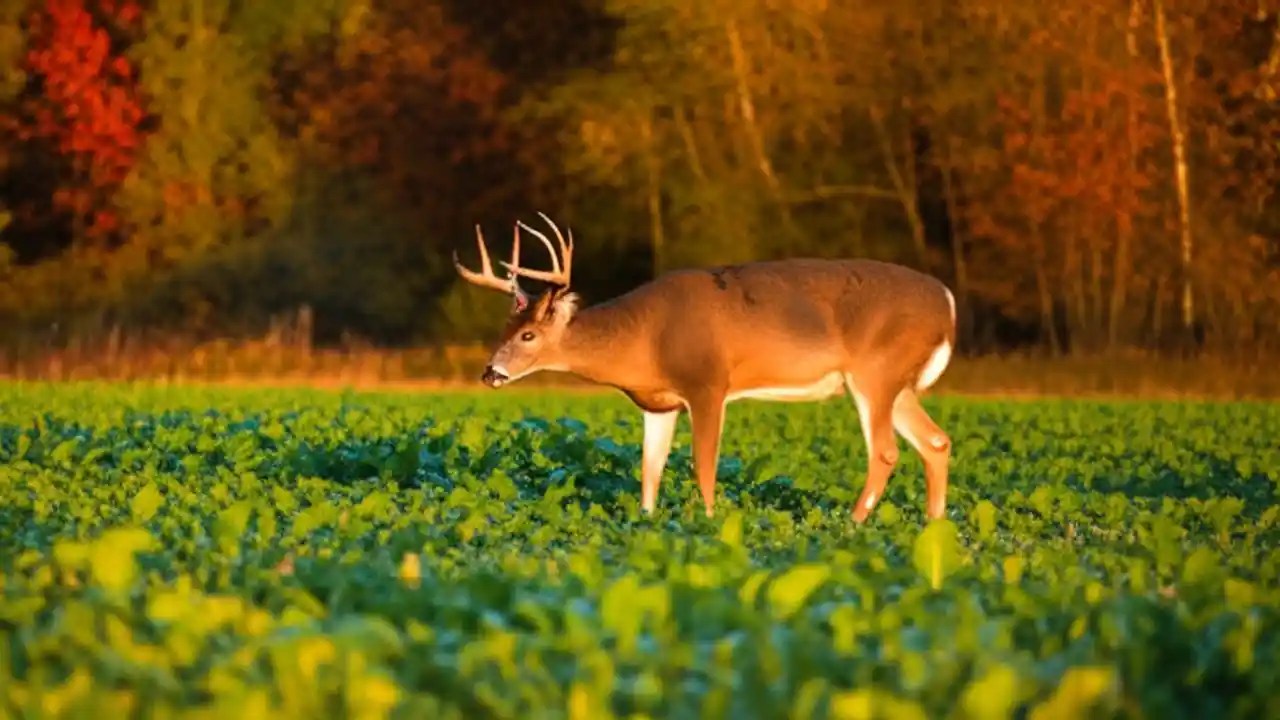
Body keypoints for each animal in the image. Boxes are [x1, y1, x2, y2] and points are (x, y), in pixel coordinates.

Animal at [453, 213, 957, 524]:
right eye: (505, 327)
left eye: (528, 336)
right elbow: (650, 468)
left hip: (875, 372)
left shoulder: (708, 383)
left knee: (886, 451)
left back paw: (851, 525)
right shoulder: (658, 405)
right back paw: (933, 526)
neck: (646, 338)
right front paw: (647, 523)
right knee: (936, 441)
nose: (490, 373)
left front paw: (710, 525)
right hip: (898, 383)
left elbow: (703, 463)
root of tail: (948, 304)